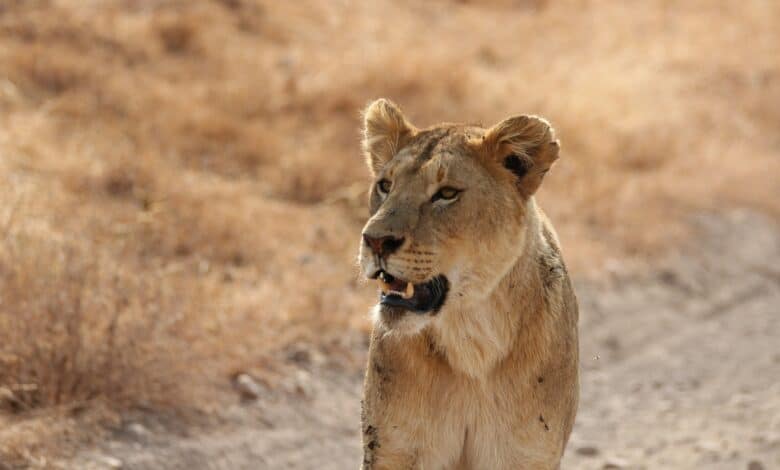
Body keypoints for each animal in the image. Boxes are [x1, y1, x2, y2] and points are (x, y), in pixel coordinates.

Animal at [357, 99, 579, 469]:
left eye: (447, 194)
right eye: (385, 185)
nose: (374, 240)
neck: (471, 340)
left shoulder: (525, 451)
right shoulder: (395, 447)